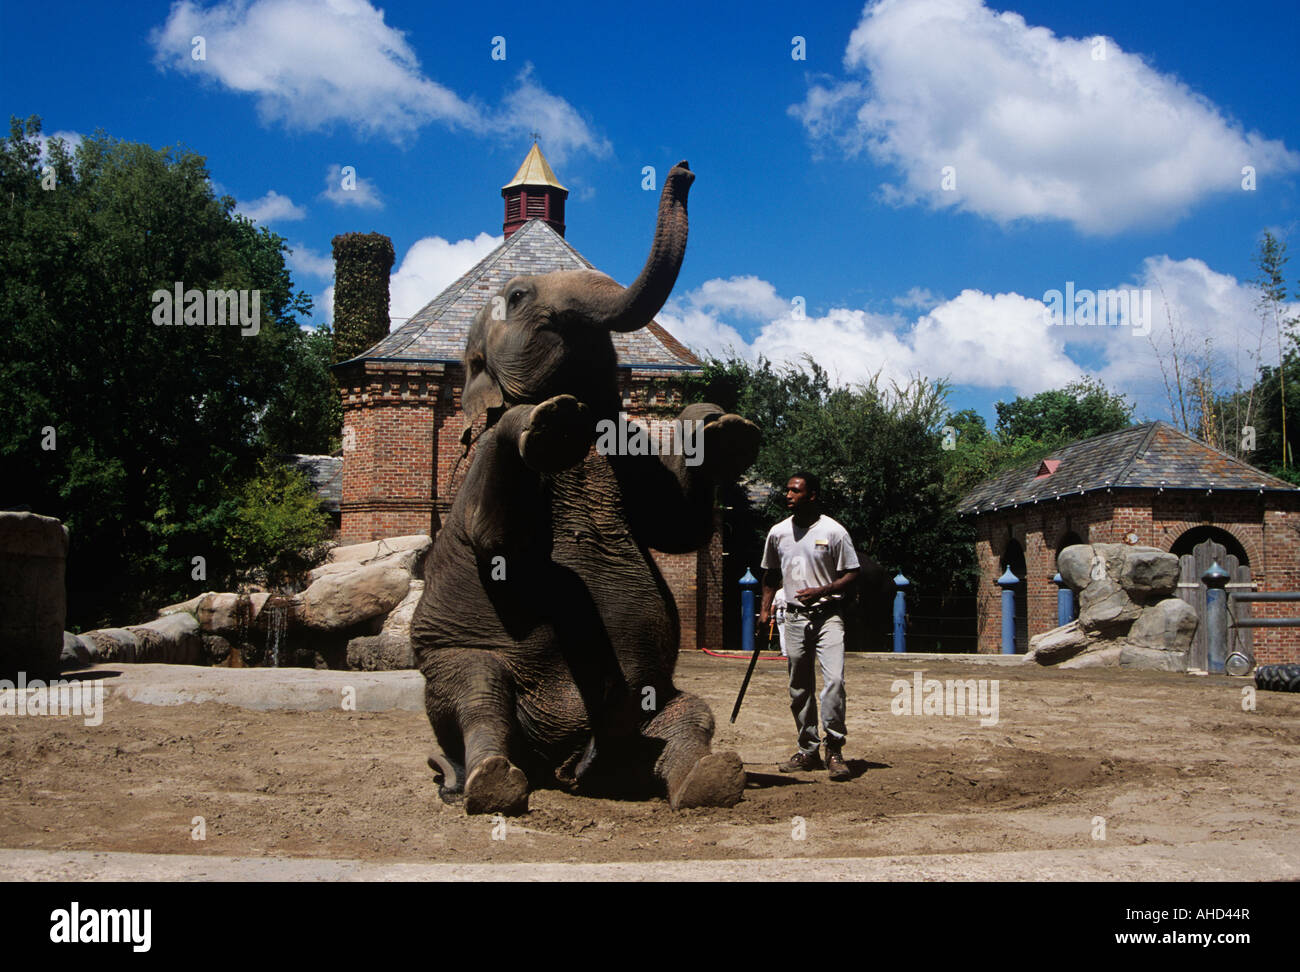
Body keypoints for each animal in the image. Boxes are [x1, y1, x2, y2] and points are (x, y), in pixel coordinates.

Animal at [410, 161, 761, 815]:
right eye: (518, 298)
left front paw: (722, 429)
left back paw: (701, 778)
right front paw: (550, 421)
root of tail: (559, 761)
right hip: (454, 664)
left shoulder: (629, 452)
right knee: (478, 699)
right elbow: (501, 545)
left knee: (692, 717)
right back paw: (487, 783)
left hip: (664, 699)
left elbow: (676, 528)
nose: (684, 170)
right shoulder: (474, 482)